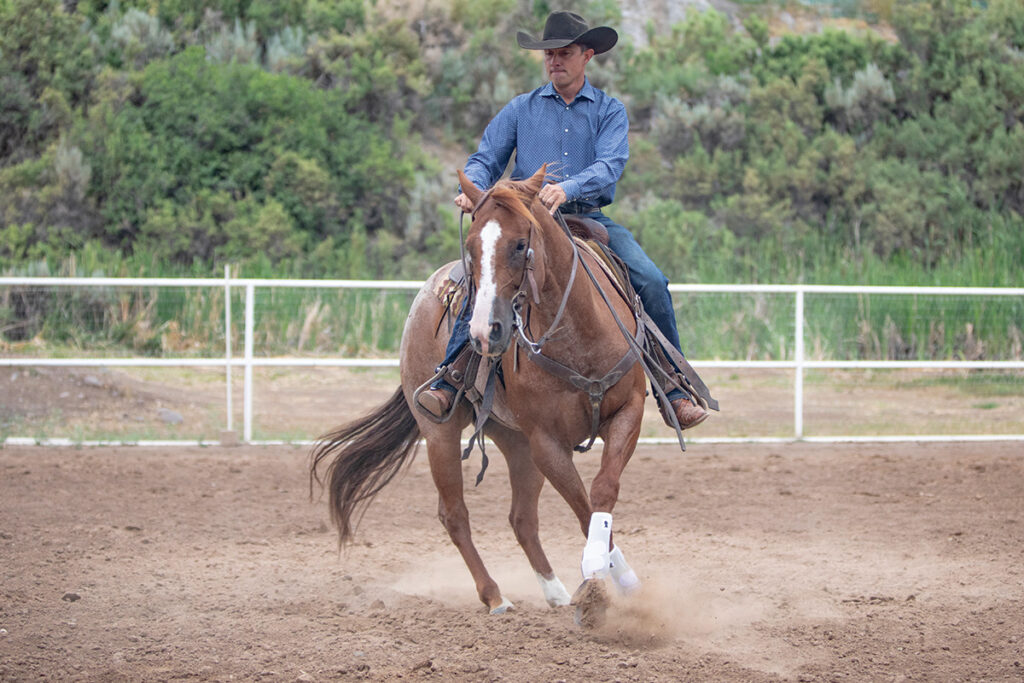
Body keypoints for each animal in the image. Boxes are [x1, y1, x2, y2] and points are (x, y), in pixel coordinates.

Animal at [310, 165, 648, 621]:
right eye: (471, 245)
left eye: (521, 244)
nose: (485, 332)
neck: (576, 336)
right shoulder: (546, 441)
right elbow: (582, 504)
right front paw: (596, 581)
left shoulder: (628, 411)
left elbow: (601, 492)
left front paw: (619, 580)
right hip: (441, 433)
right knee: (454, 514)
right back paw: (495, 596)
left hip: (516, 441)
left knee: (522, 518)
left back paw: (555, 592)